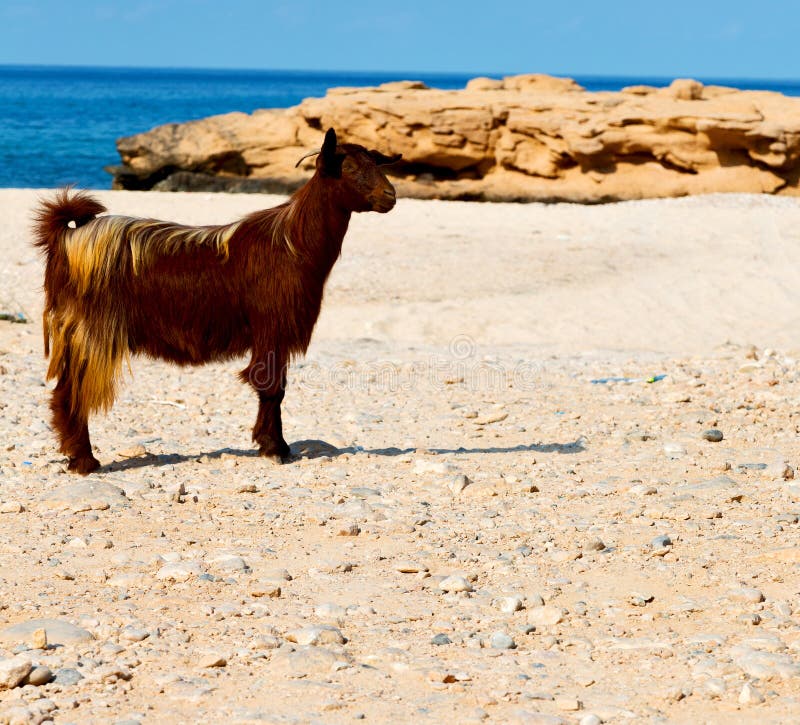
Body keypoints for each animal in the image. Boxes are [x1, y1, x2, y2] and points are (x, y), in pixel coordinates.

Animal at [33, 128, 400, 474]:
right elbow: (272, 387)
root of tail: (67, 236)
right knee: (72, 391)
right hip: (89, 330)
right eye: (347, 168)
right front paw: (275, 447)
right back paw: (84, 460)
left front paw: (272, 443)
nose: (390, 195)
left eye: (375, 164)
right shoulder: (272, 326)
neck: (292, 245)